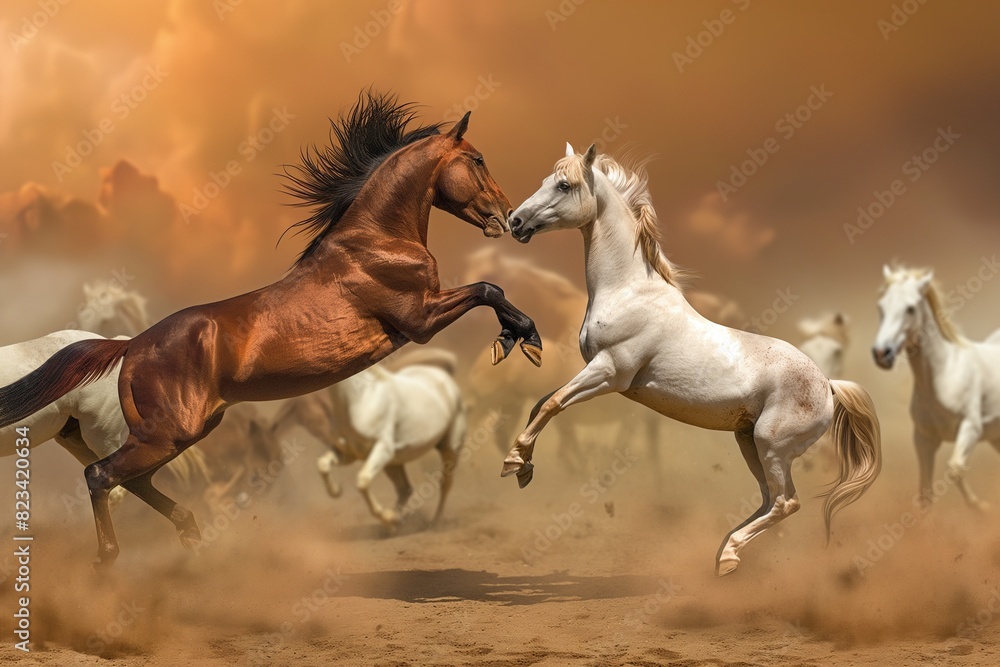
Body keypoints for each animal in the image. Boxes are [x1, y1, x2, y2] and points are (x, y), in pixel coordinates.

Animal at [271, 348, 466, 530]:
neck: (360, 401)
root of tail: (443, 377)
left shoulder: (382, 450)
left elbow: (363, 481)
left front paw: (387, 518)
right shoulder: (349, 454)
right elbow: (323, 464)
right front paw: (337, 491)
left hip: (450, 448)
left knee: (445, 484)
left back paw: (434, 522)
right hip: (393, 463)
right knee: (405, 489)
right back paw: (395, 523)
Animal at [502, 144, 882, 575]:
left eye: (564, 185)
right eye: (545, 180)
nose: (515, 220)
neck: (629, 290)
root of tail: (829, 385)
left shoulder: (610, 372)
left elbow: (551, 403)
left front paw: (513, 462)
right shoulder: (595, 372)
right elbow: (541, 404)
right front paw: (525, 466)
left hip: (771, 445)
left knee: (786, 502)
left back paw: (728, 557)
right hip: (748, 441)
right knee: (769, 500)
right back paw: (724, 552)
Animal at [873, 265, 1000, 511]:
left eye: (910, 308)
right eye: (881, 306)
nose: (882, 353)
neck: (944, 375)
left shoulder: (971, 428)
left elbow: (954, 469)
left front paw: (980, 507)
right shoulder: (924, 438)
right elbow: (925, 490)